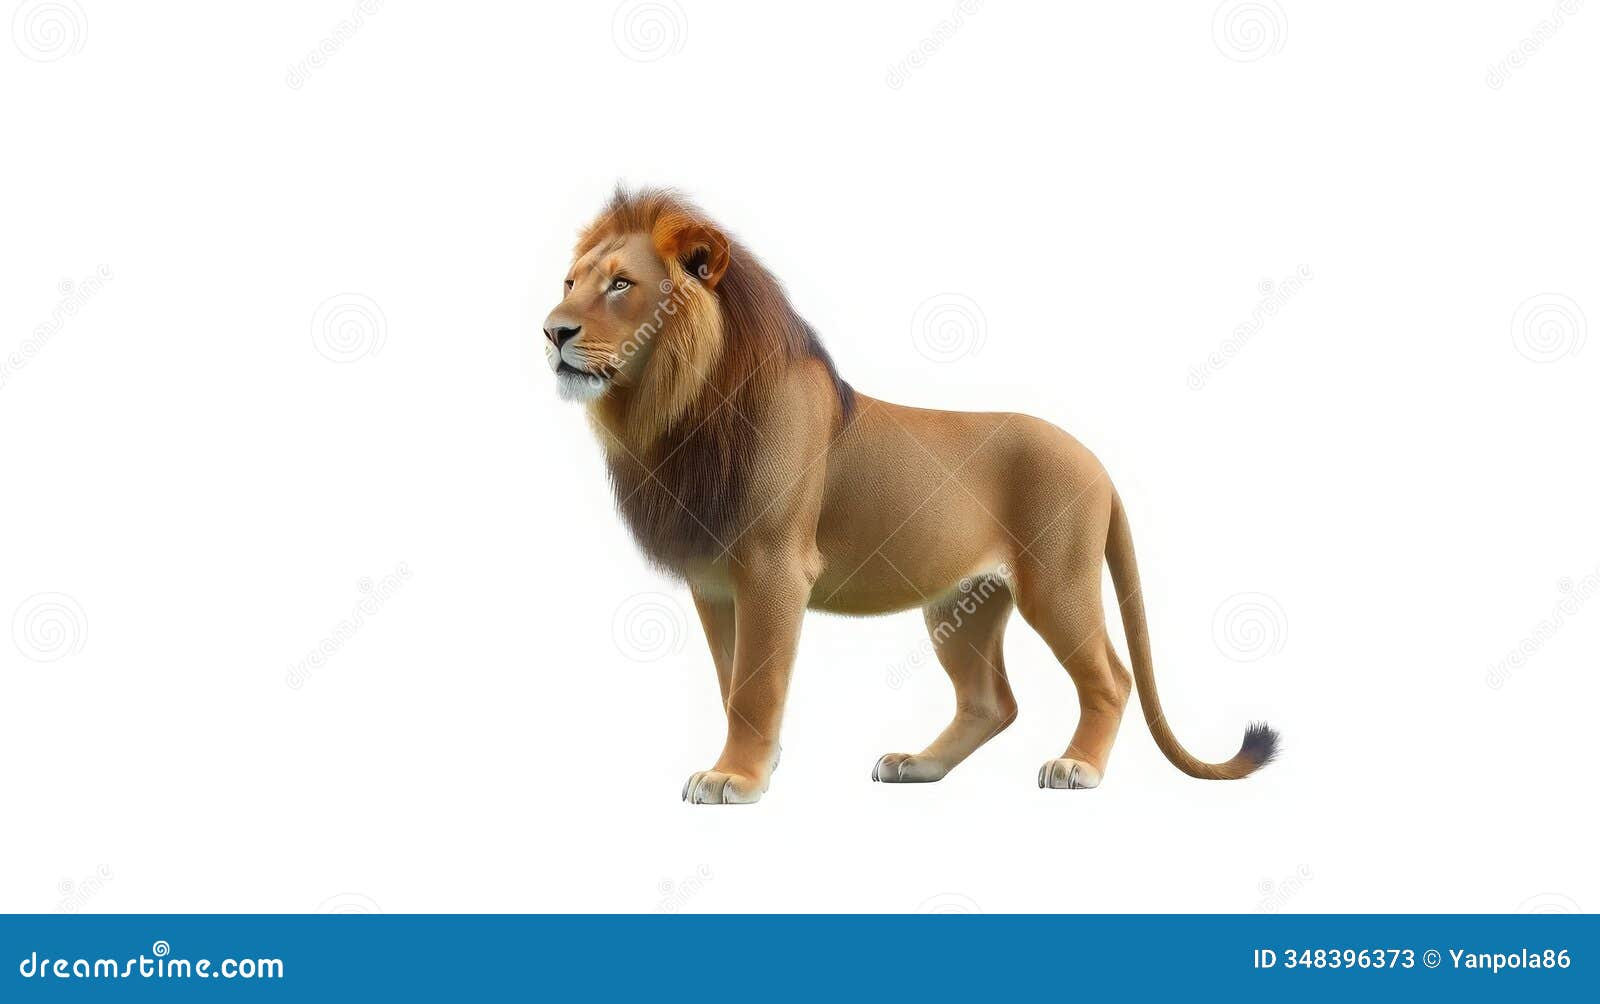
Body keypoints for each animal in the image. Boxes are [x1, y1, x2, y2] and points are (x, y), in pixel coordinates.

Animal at [544, 187, 1277, 803]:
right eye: (570, 283)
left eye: (621, 284)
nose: (552, 331)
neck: (676, 408)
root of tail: (1097, 462)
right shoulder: (715, 581)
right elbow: (732, 683)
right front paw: (755, 764)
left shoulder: (772, 568)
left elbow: (754, 687)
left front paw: (737, 779)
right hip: (961, 604)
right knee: (991, 702)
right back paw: (917, 764)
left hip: (1057, 583)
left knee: (1111, 679)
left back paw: (1077, 767)